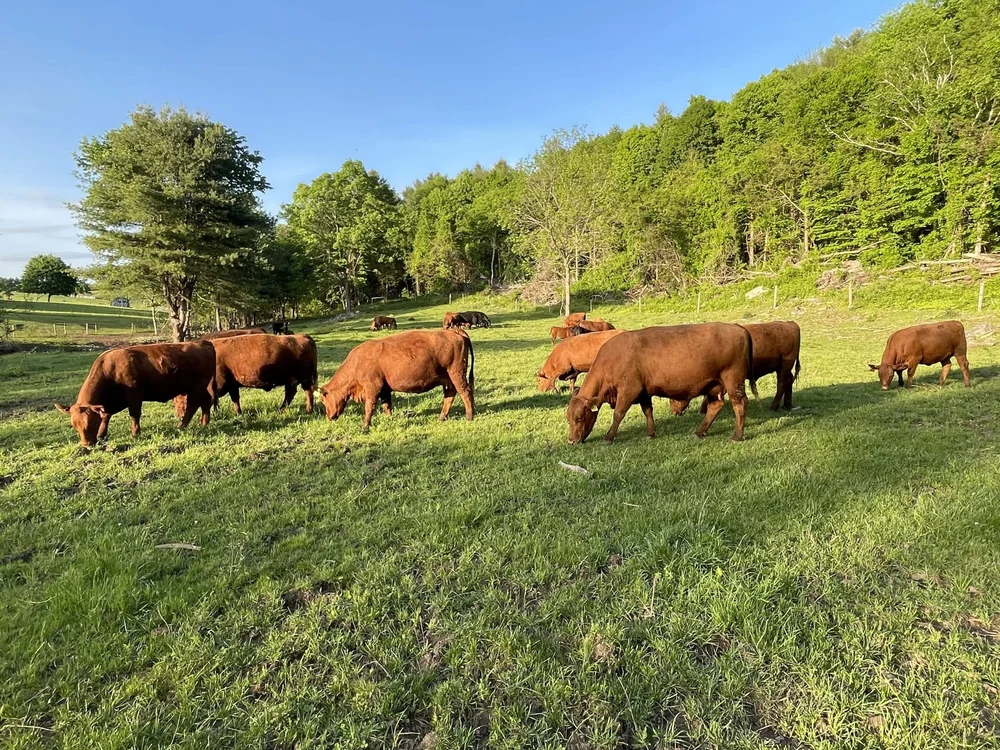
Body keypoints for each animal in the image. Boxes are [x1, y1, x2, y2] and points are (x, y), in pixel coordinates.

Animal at [55, 341, 216, 447]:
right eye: (74, 425)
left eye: (92, 422)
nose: (87, 444)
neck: (109, 369)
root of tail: (203, 342)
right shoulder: (111, 403)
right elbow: (106, 416)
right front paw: (102, 435)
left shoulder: (134, 394)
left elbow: (134, 415)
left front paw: (135, 433)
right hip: (200, 388)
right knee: (205, 402)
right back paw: (204, 423)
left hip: (197, 387)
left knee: (192, 406)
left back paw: (181, 426)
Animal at [176, 333, 318, 417]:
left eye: (181, 397)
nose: (179, 415)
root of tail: (302, 336)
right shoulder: (232, 385)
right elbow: (235, 399)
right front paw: (238, 413)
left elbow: (212, 399)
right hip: (292, 380)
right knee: (291, 393)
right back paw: (282, 410)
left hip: (305, 379)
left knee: (307, 393)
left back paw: (308, 410)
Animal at [319, 329, 474, 430]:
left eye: (323, 400)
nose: (328, 417)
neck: (357, 363)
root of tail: (455, 331)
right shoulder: (384, 389)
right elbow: (387, 405)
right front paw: (389, 419)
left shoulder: (373, 388)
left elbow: (369, 407)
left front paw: (365, 426)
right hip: (448, 379)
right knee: (450, 395)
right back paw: (442, 417)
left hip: (456, 374)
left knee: (465, 392)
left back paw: (469, 416)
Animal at [566, 324, 758, 444]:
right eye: (568, 418)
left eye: (579, 417)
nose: (571, 441)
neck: (613, 358)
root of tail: (738, 328)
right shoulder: (643, 392)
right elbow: (648, 412)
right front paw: (650, 434)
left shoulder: (629, 390)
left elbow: (618, 414)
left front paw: (608, 437)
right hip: (714, 386)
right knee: (715, 406)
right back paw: (699, 432)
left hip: (733, 381)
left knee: (740, 404)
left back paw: (737, 436)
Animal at [670, 321, 802, 414]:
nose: (673, 411)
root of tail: (790, 324)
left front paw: (702, 410)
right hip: (783, 367)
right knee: (788, 381)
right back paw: (787, 405)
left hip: (784, 366)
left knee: (782, 383)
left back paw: (774, 406)